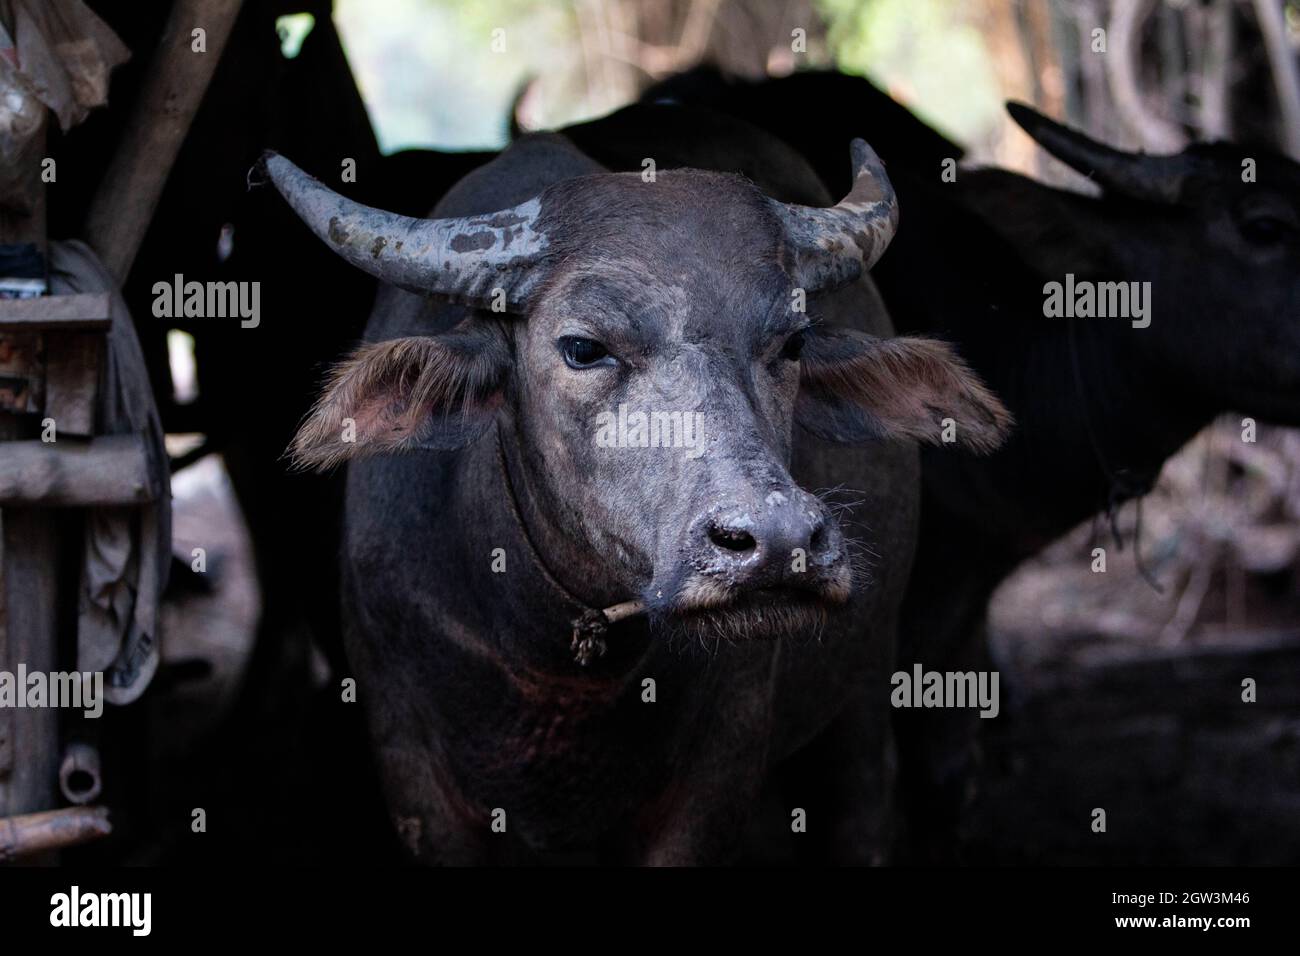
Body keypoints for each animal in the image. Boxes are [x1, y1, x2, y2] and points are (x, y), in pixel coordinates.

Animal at [255, 124, 1012, 864]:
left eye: (793, 342)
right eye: (583, 348)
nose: (779, 543)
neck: (555, 666)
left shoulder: (715, 778)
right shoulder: (414, 776)